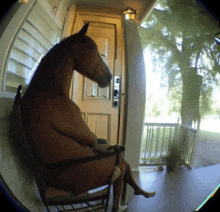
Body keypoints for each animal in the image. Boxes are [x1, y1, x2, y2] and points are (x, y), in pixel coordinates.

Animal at [19, 23, 156, 212]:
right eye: (92, 47)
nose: (110, 77)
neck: (48, 90)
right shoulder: (86, 133)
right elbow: (94, 141)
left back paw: (143, 193)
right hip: (109, 170)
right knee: (120, 180)